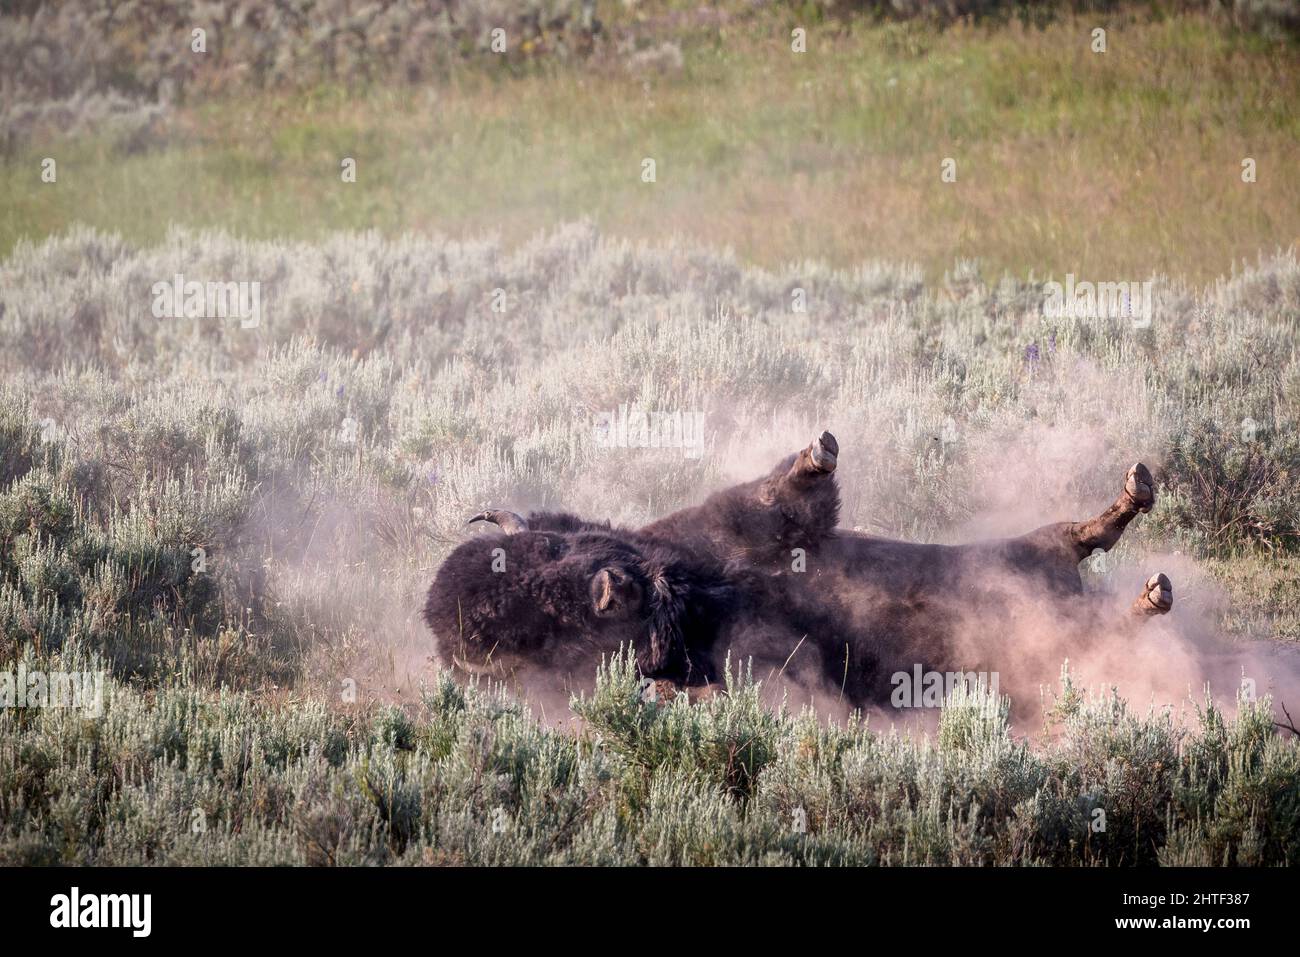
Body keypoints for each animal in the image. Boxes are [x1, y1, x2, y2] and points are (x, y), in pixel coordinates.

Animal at [423, 433, 1172, 708]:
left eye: (549, 547)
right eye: (542, 628)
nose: (613, 587)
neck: (701, 602)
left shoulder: (714, 530)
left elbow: (775, 499)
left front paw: (820, 450)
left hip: (1031, 556)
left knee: (1078, 539)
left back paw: (1138, 499)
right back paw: (1152, 590)